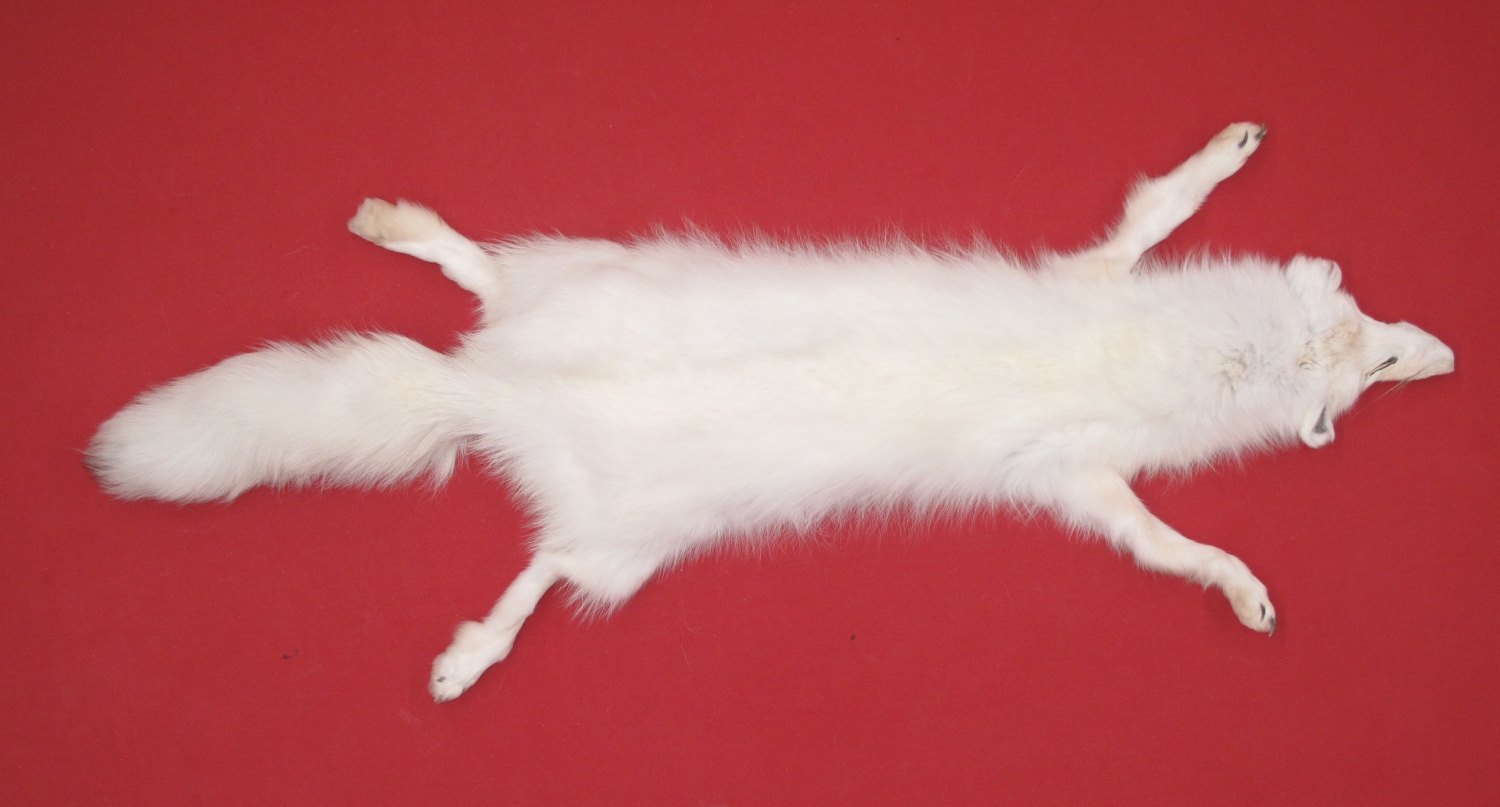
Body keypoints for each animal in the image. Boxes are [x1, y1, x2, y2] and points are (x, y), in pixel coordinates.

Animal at [87, 123, 1454, 701]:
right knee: (532, 557)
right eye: (1380, 359)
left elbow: (1158, 534)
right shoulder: (1097, 341)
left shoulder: (1080, 464)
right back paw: (469, 661)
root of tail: (498, 391)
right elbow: (1163, 210)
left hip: (602, 454)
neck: (1133, 352)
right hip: (610, 458)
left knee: (522, 486)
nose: (1445, 351)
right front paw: (1246, 588)